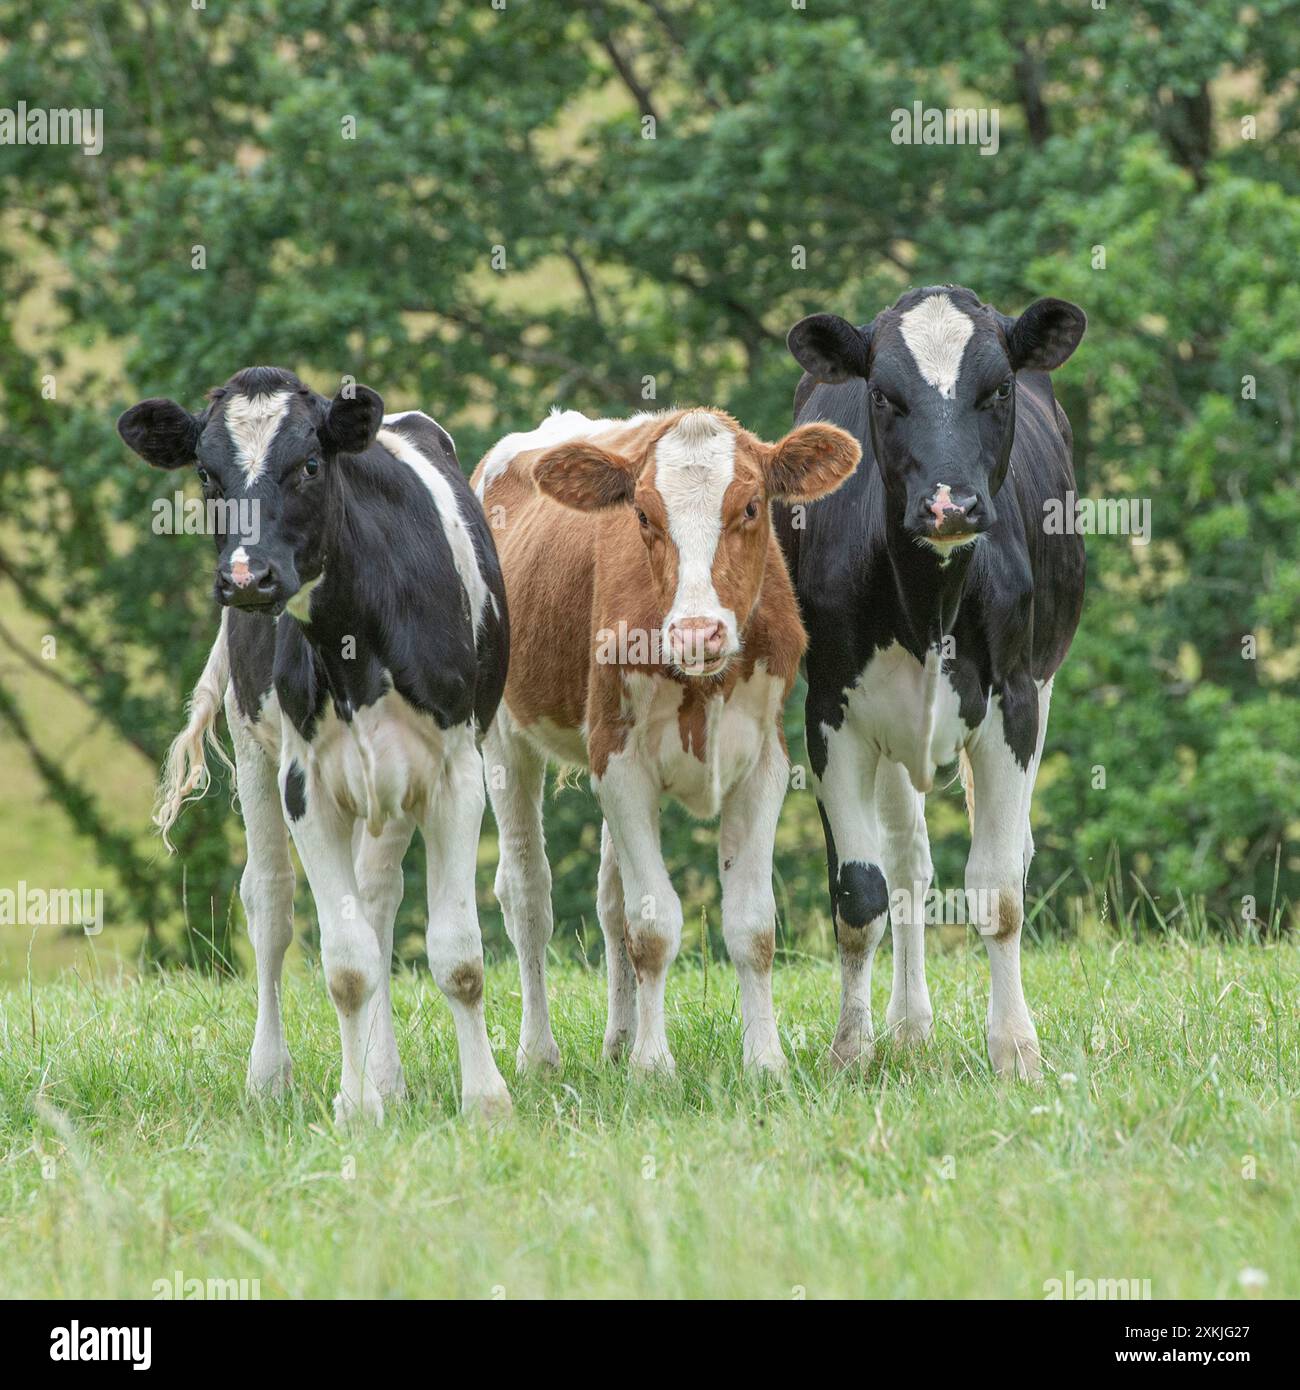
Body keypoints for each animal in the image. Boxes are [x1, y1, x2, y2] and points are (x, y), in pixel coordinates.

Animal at [117, 367, 512, 1123]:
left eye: (308, 464)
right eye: (206, 474)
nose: (247, 577)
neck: (355, 640)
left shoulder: (454, 772)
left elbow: (458, 955)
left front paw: (484, 1100)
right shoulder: (307, 785)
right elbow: (347, 963)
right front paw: (357, 1109)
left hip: (390, 783)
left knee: (379, 896)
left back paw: (387, 1073)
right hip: (254, 752)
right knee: (270, 904)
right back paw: (271, 1076)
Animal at [471, 407, 860, 1073]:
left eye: (751, 506)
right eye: (644, 515)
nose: (697, 633)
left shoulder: (764, 764)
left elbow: (752, 926)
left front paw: (765, 1060)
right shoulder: (620, 762)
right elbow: (652, 927)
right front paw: (654, 1066)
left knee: (609, 904)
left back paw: (618, 1038)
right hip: (503, 736)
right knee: (527, 895)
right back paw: (539, 1053)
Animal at [779, 285, 1087, 1078]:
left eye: (998, 389)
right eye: (883, 396)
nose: (951, 505)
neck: (928, 602)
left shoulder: (1015, 704)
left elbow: (999, 891)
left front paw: (1015, 1049)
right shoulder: (831, 717)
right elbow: (860, 893)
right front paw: (849, 1050)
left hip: (1039, 686)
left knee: (1004, 855)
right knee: (907, 865)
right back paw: (910, 1025)